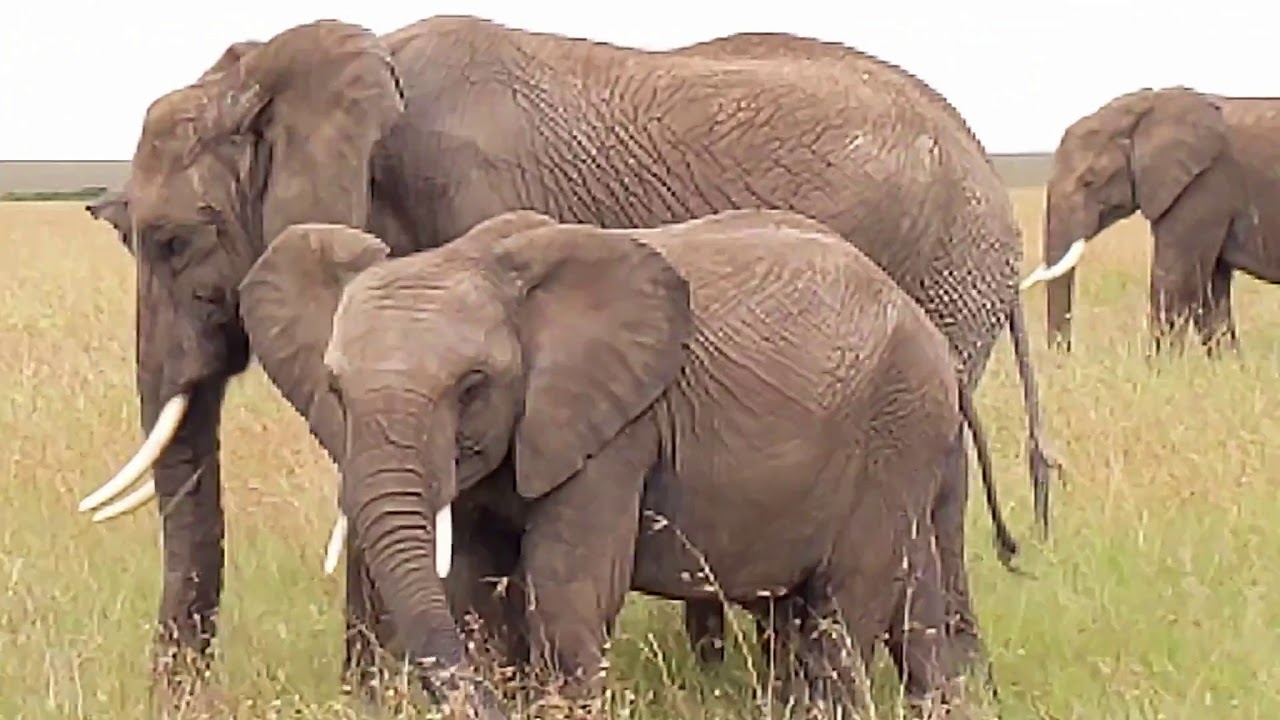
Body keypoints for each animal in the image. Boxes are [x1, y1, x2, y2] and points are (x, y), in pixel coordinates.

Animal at [236, 208, 1020, 718]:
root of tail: (926, 328)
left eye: (472, 385)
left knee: (845, 604)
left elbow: (565, 587)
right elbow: (473, 588)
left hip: (896, 425)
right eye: (335, 389)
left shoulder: (618, 428)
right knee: (909, 596)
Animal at [1021, 86, 1280, 355]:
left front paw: (1161, 365)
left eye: (1089, 181)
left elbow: (1175, 282)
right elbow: (1211, 292)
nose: (1063, 357)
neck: (1146, 108)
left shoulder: (1203, 186)